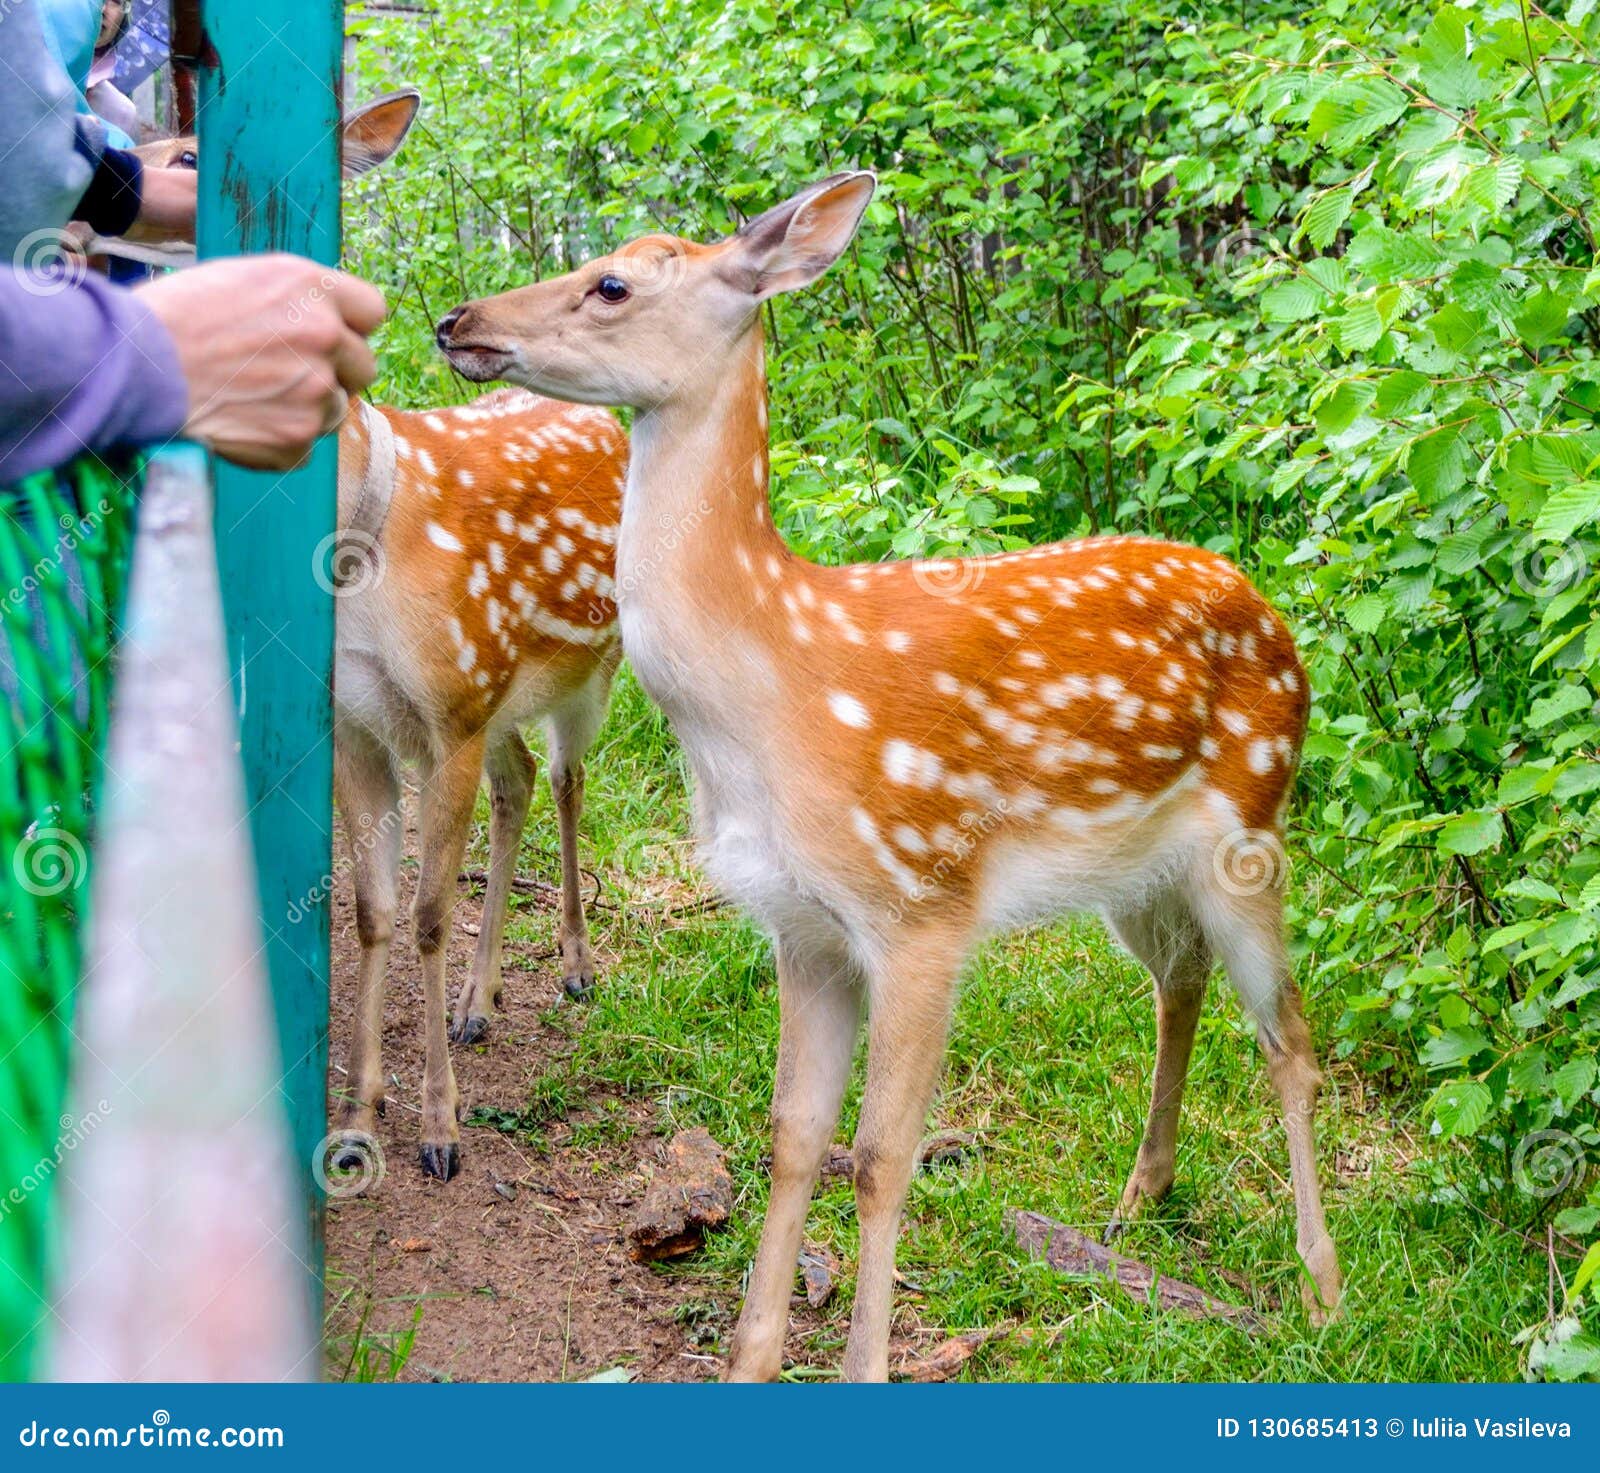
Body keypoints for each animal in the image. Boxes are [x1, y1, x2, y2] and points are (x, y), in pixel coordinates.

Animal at [119, 91, 628, 1182]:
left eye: (192, 150)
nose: (116, 179)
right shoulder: (361, 720)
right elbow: (374, 912)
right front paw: (357, 1119)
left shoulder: (453, 706)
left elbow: (429, 914)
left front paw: (439, 1129)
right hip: (500, 695)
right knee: (521, 784)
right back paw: (480, 1002)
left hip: (588, 670)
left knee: (568, 782)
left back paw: (572, 966)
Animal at [435, 171, 1342, 1379]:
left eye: (613, 283)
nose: (457, 321)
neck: (769, 698)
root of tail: (1276, 620)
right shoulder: (802, 926)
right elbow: (790, 1138)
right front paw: (752, 1358)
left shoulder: (922, 908)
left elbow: (880, 1156)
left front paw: (861, 1362)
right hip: (1136, 874)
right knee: (1179, 982)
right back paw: (1136, 1200)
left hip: (1252, 823)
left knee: (1289, 1040)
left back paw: (1322, 1288)